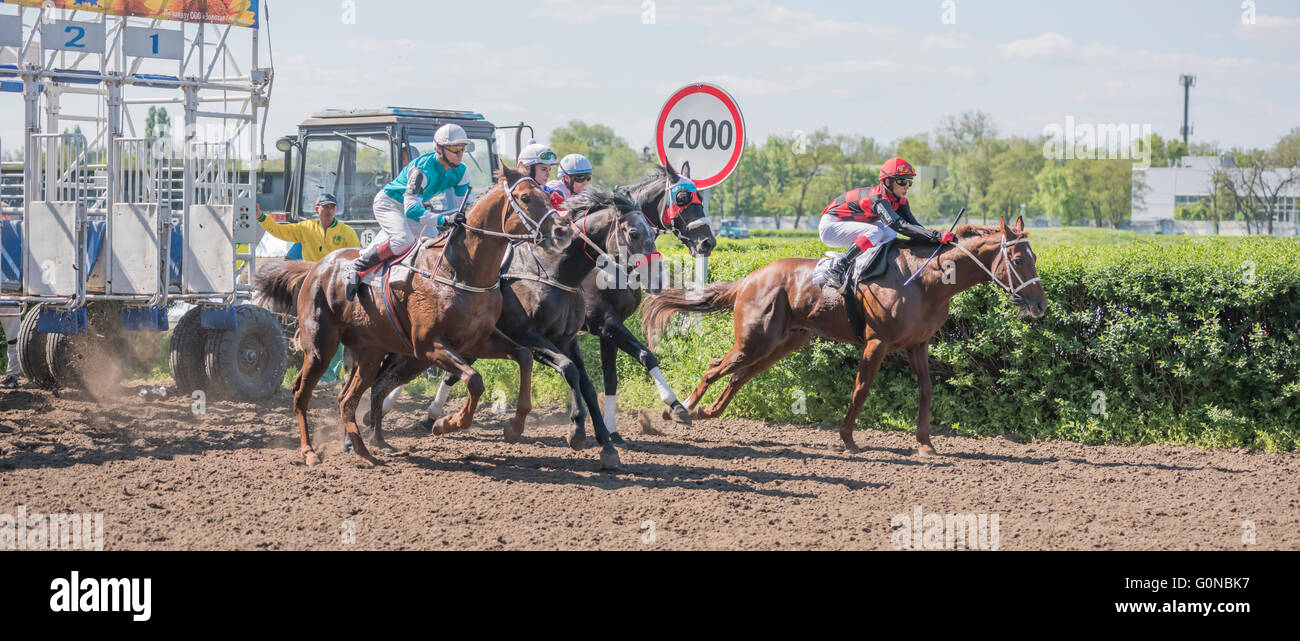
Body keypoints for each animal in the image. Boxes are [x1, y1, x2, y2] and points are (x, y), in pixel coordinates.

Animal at [253, 164, 571, 467]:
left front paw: (514, 426)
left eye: (547, 194)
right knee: (302, 393)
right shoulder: (429, 345)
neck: (460, 271)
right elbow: (474, 380)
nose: (563, 230)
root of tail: (316, 267)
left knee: (349, 398)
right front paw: (447, 423)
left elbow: (524, 357)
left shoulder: (478, 340)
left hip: (370, 354)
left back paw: (366, 449)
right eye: (526, 197)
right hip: (321, 347)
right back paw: (310, 452)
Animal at [367, 188, 658, 470]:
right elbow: (569, 369)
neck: (553, 272)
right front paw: (576, 431)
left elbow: (586, 384)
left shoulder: (569, 339)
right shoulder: (530, 336)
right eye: (633, 233)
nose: (656, 276)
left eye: (653, 232)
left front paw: (607, 446)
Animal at [641, 216, 1048, 456]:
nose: (1041, 306)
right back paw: (679, 410)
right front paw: (847, 437)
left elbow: (926, 390)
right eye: (1019, 260)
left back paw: (706, 411)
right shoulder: (877, 342)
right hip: (754, 340)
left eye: (1034, 258)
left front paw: (925, 443)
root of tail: (749, 278)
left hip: (783, 342)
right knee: (716, 367)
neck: (927, 281)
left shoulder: (917, 344)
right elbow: (861, 388)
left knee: (739, 376)